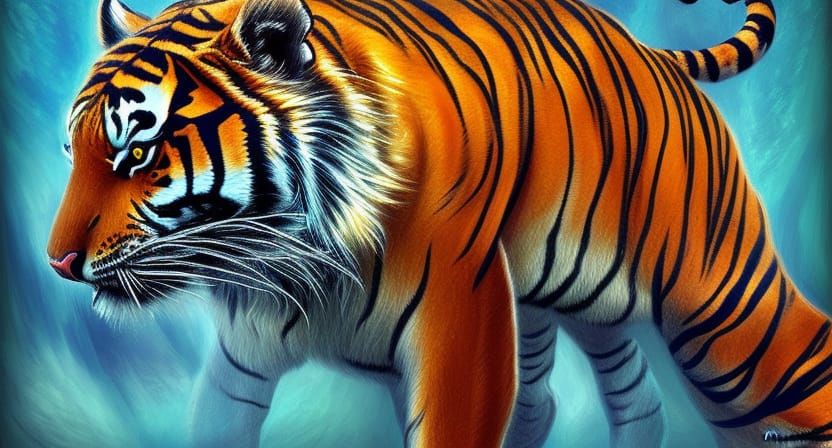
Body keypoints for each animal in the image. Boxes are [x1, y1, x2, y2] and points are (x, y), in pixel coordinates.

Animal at [46, 0, 831, 446]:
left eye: (138, 151)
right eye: (73, 152)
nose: (56, 263)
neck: (284, 261)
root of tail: (651, 55)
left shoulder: (459, 342)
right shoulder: (242, 359)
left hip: (724, 311)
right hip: (566, 296)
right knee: (619, 396)